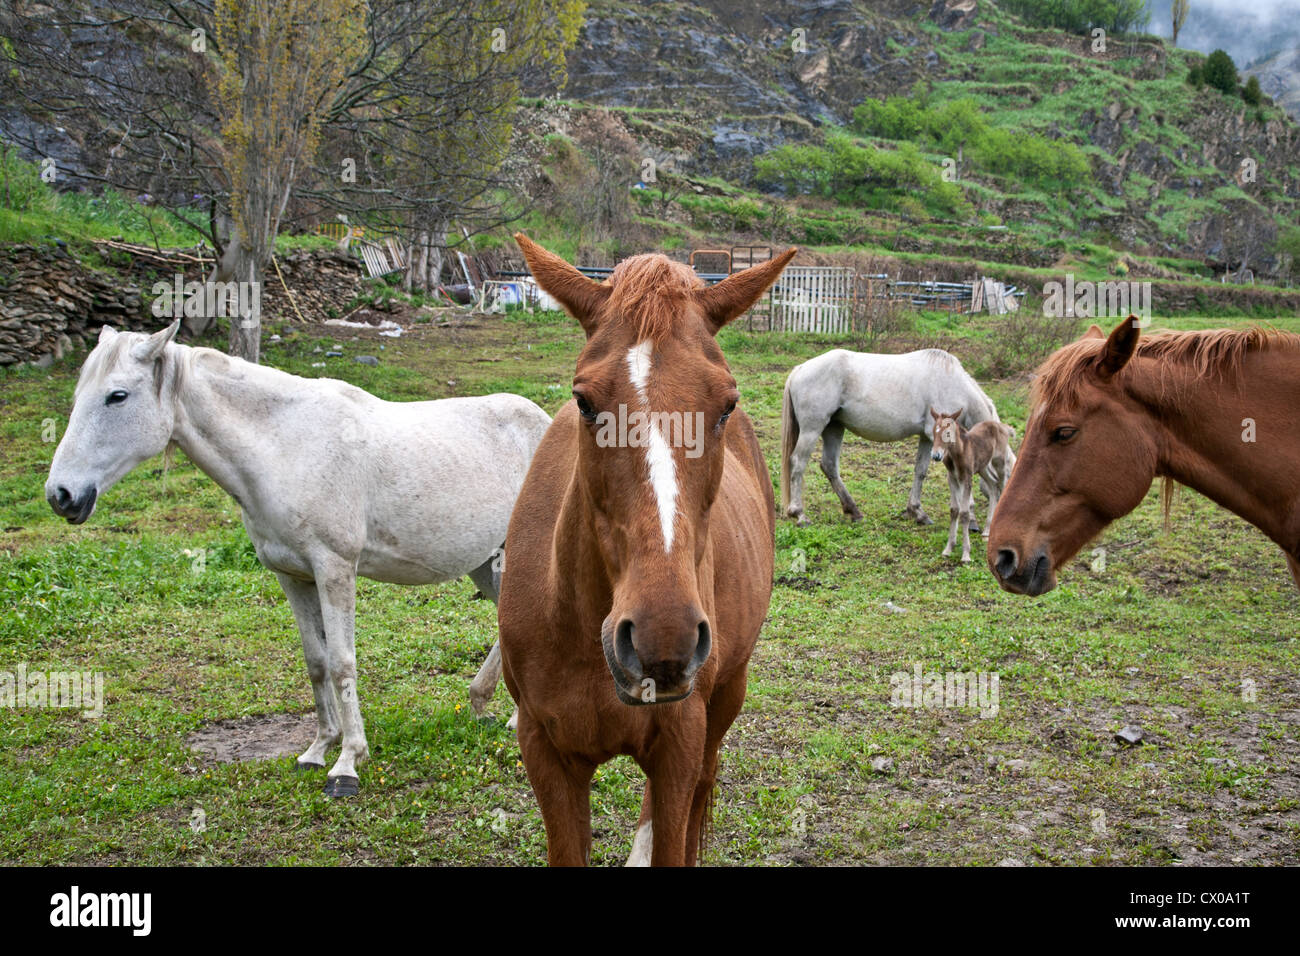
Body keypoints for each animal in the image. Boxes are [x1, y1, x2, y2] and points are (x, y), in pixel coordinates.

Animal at [44, 322, 551, 795]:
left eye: (117, 396)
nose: (61, 495)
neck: (285, 447)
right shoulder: (293, 577)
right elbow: (316, 661)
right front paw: (318, 748)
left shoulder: (334, 570)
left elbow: (343, 662)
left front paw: (348, 763)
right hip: (486, 562)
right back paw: (484, 703)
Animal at [498, 234, 793, 866]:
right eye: (584, 402)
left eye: (726, 405)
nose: (664, 638)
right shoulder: (544, 750)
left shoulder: (680, 744)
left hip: (723, 702)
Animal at [780, 347, 1002, 527]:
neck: (954, 385)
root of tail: (800, 369)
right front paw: (970, 517)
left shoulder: (927, 439)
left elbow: (920, 472)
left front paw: (917, 512)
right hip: (812, 429)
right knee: (798, 463)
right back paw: (799, 514)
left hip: (834, 428)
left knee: (829, 466)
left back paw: (854, 511)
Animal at [929, 408, 1015, 563]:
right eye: (934, 431)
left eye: (948, 433)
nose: (936, 455)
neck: (957, 454)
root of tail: (1003, 427)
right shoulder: (952, 478)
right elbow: (954, 510)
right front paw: (948, 549)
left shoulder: (967, 478)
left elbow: (964, 513)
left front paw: (965, 554)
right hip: (983, 467)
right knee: (993, 486)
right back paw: (987, 531)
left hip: (999, 462)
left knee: (1002, 485)